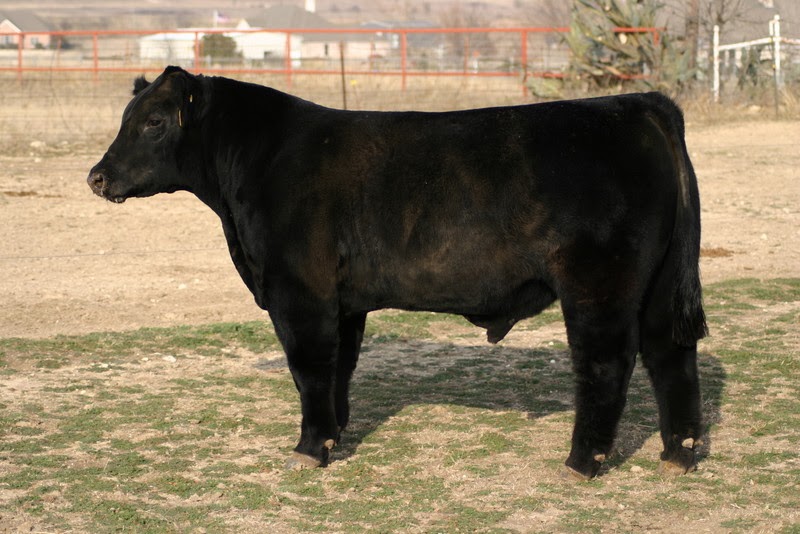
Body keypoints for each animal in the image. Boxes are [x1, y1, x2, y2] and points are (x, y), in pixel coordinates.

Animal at [87, 66, 707, 480]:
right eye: (125, 118)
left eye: (155, 122)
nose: (97, 176)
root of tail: (639, 104)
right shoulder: (344, 302)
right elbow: (338, 368)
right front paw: (334, 437)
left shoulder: (298, 291)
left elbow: (309, 368)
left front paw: (309, 449)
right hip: (656, 287)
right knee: (671, 356)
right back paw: (677, 454)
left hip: (599, 285)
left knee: (607, 364)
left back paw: (581, 462)